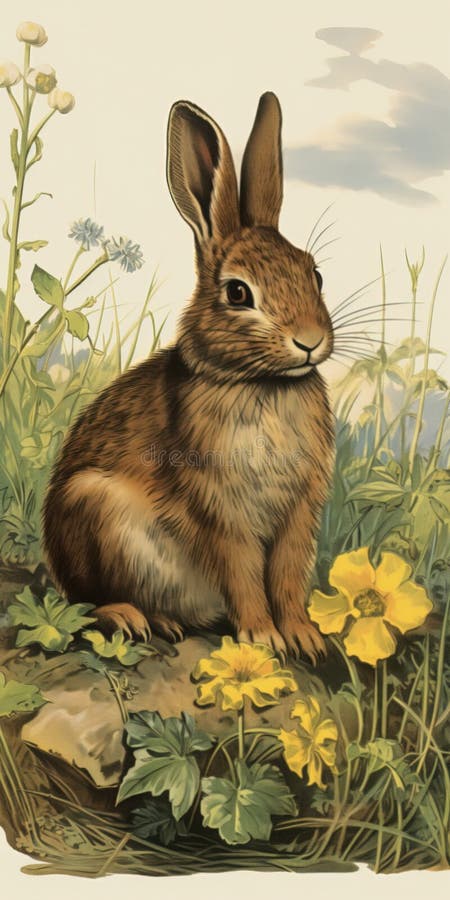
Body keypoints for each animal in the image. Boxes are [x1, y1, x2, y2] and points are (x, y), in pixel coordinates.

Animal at [43, 92, 335, 663]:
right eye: (238, 293)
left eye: (313, 274)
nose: (310, 341)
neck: (261, 383)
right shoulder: (219, 508)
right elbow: (244, 575)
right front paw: (263, 639)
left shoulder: (299, 511)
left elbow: (288, 577)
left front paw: (304, 639)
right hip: (93, 515)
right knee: (88, 601)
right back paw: (135, 619)